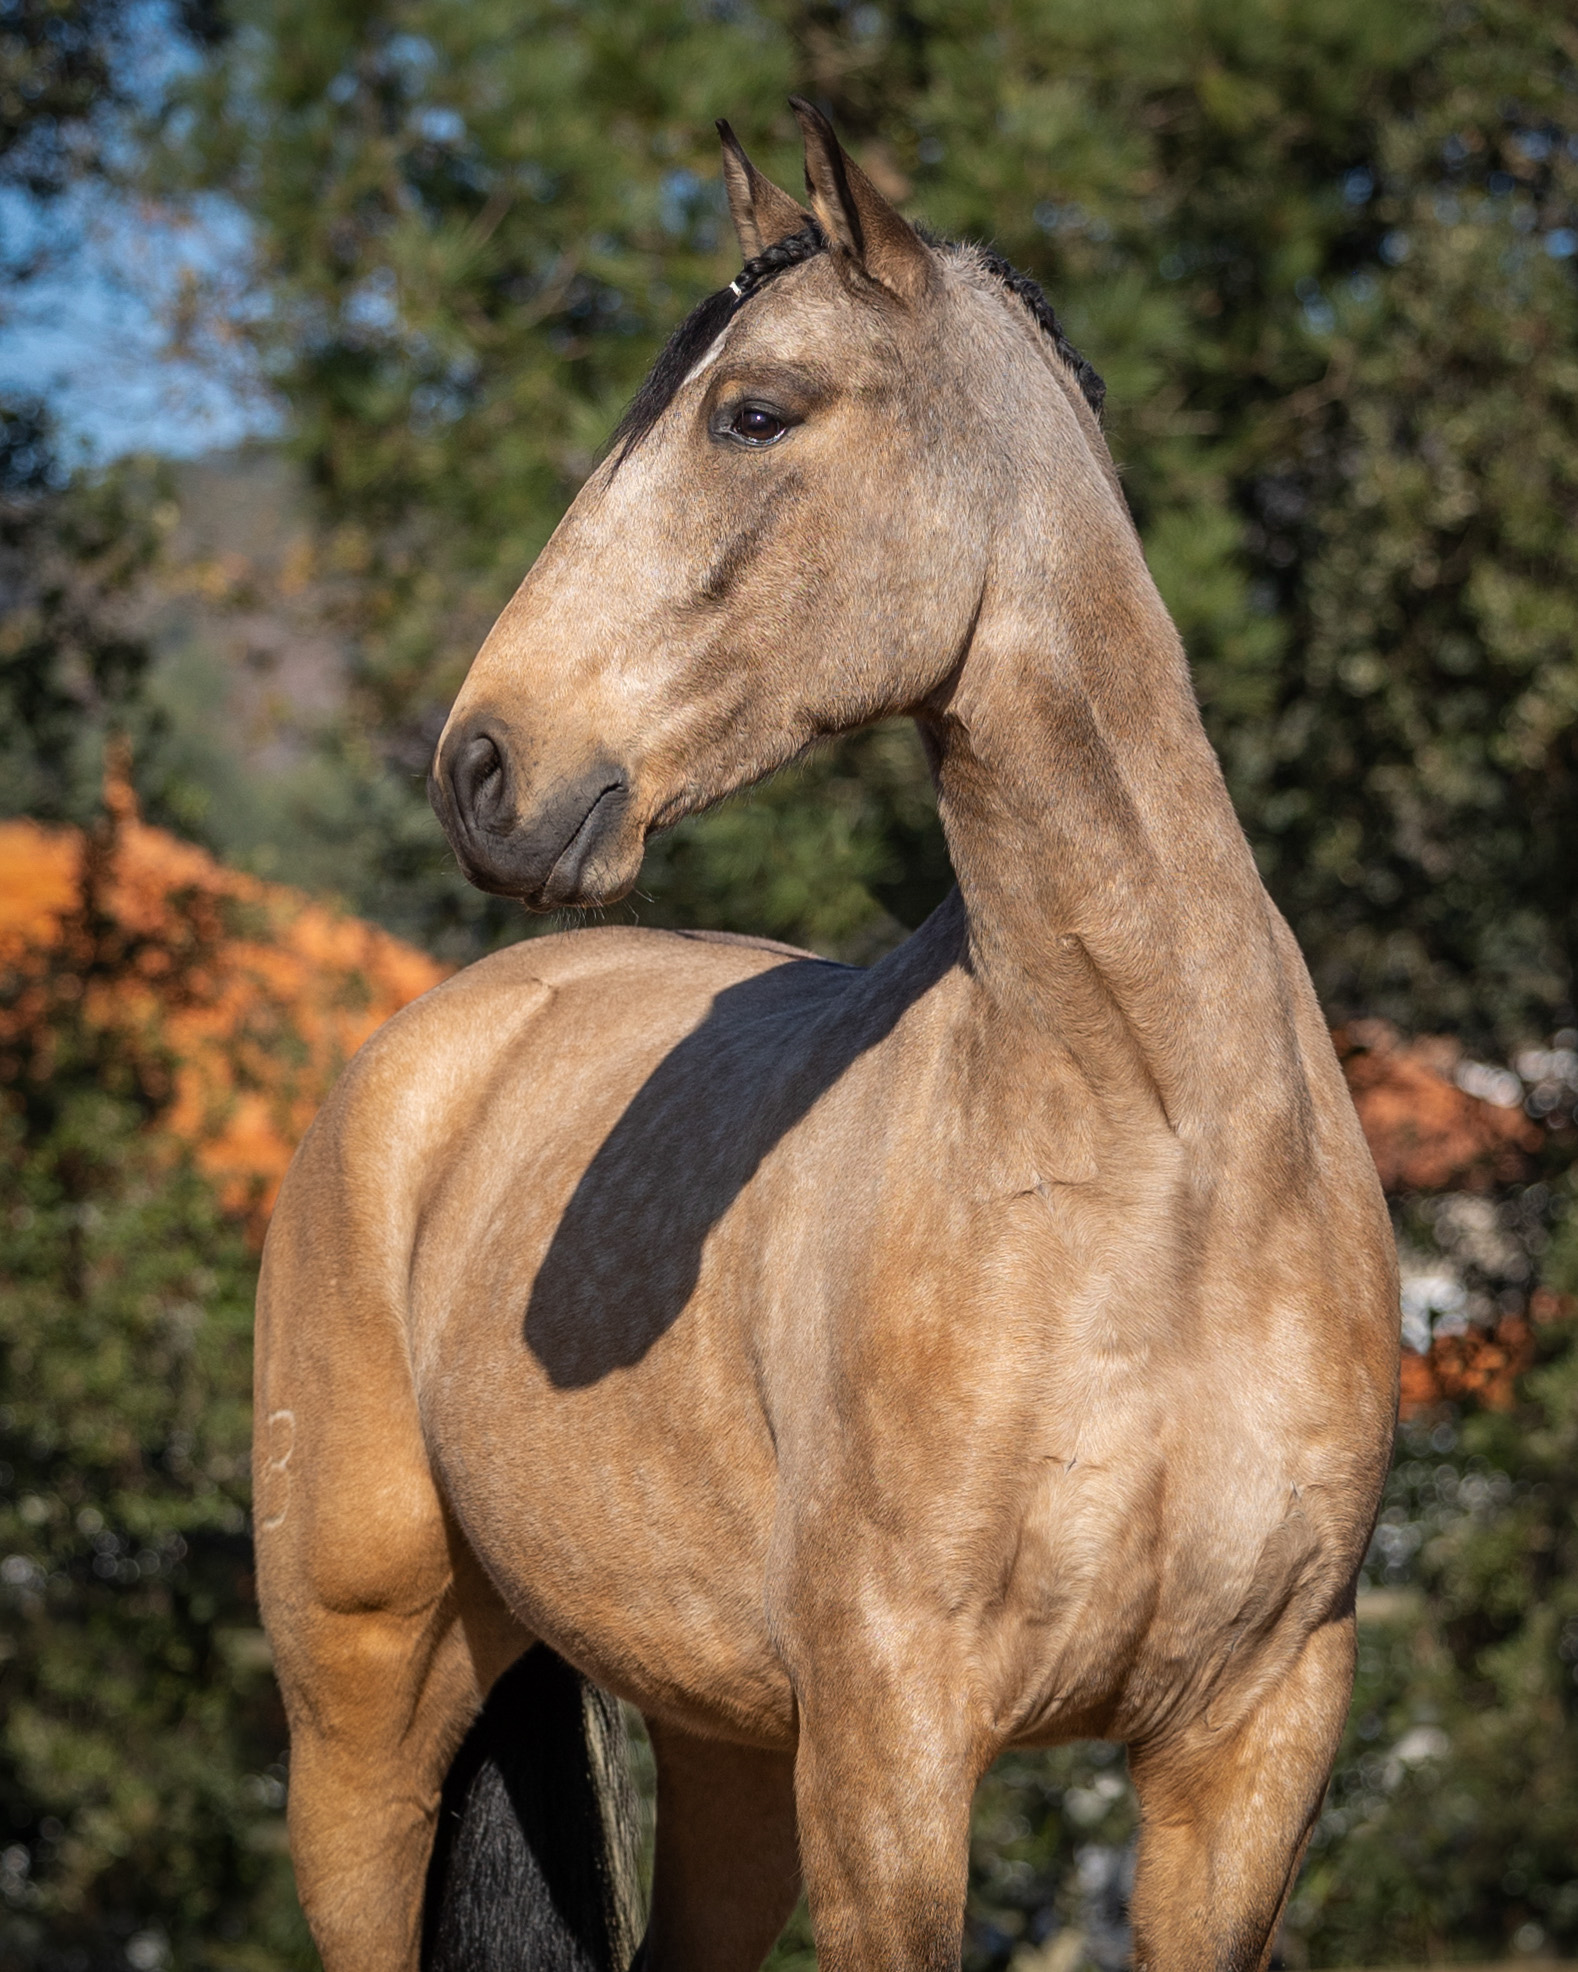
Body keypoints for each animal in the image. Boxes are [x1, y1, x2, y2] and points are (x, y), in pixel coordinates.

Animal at [253, 98, 1398, 1972]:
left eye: (754, 410)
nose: (483, 770)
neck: (1158, 1164)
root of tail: (429, 1052)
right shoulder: (890, 1757)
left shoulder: (1247, 1754)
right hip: (364, 1712)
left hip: (719, 1742)